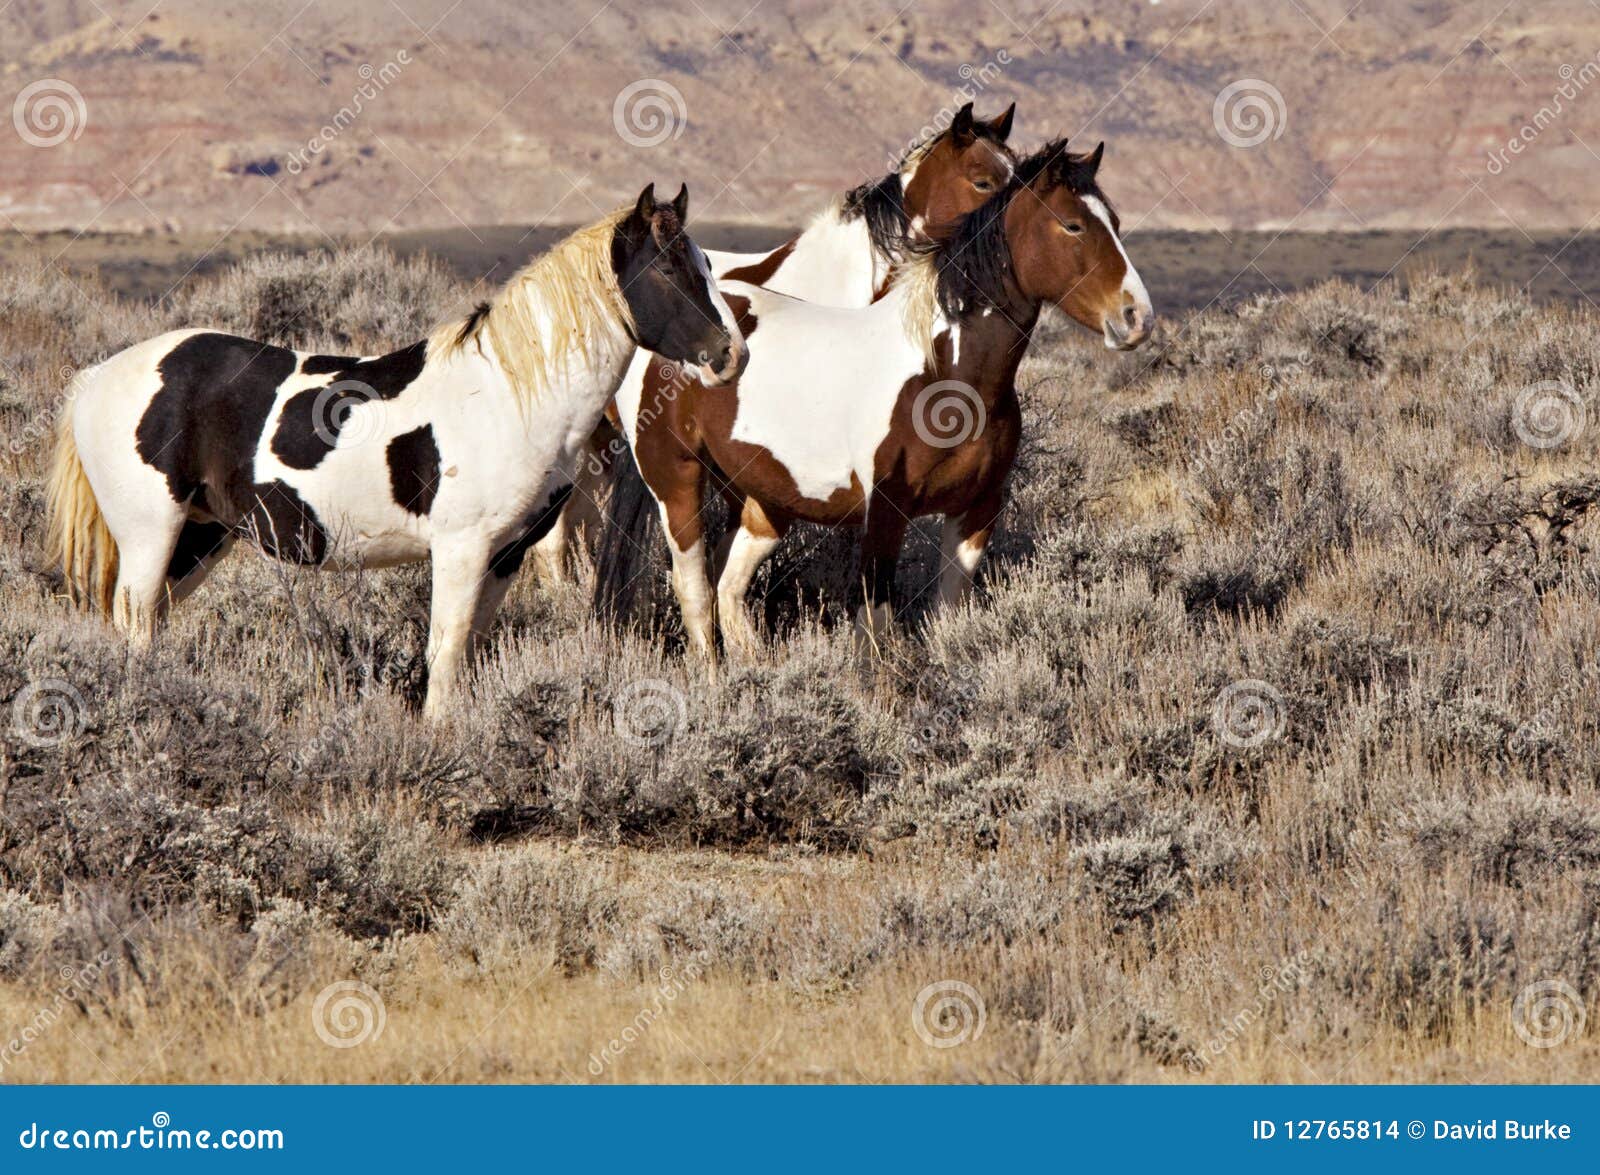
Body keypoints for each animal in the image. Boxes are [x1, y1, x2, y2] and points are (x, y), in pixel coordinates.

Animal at [47, 184, 745, 717]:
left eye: (708, 265)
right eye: (667, 268)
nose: (730, 355)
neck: (506, 394)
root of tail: (96, 378)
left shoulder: (506, 554)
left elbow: (469, 650)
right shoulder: (459, 548)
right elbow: (446, 648)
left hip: (199, 535)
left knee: (148, 621)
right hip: (151, 534)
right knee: (135, 621)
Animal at [594, 140, 1153, 658]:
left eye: (1115, 223)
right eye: (1073, 226)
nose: (1136, 318)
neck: (945, 375)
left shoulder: (976, 513)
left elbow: (947, 616)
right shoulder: (886, 512)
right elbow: (874, 629)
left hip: (762, 501)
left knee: (729, 588)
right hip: (676, 480)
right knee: (695, 592)